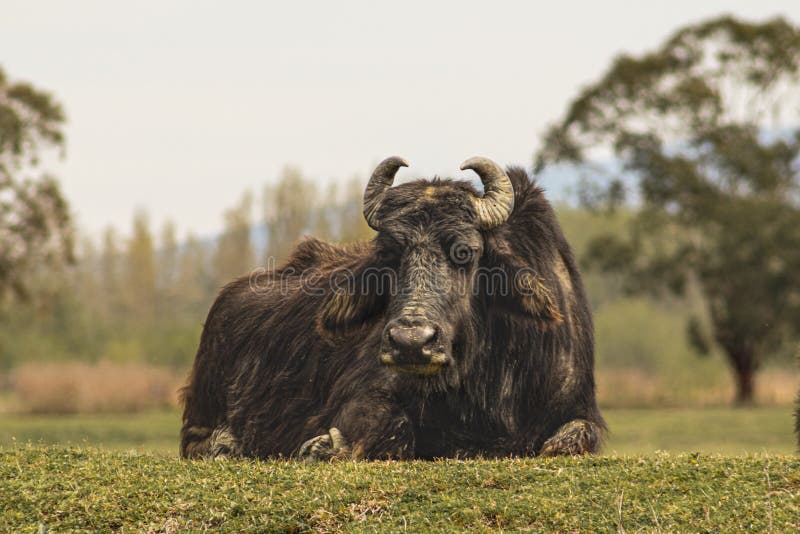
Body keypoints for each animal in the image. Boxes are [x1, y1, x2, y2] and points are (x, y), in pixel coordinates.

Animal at [180, 156, 605, 460]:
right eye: (388, 254)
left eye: (464, 252)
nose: (411, 342)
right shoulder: (363, 399)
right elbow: (391, 429)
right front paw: (322, 448)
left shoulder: (580, 411)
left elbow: (569, 440)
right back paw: (225, 446)